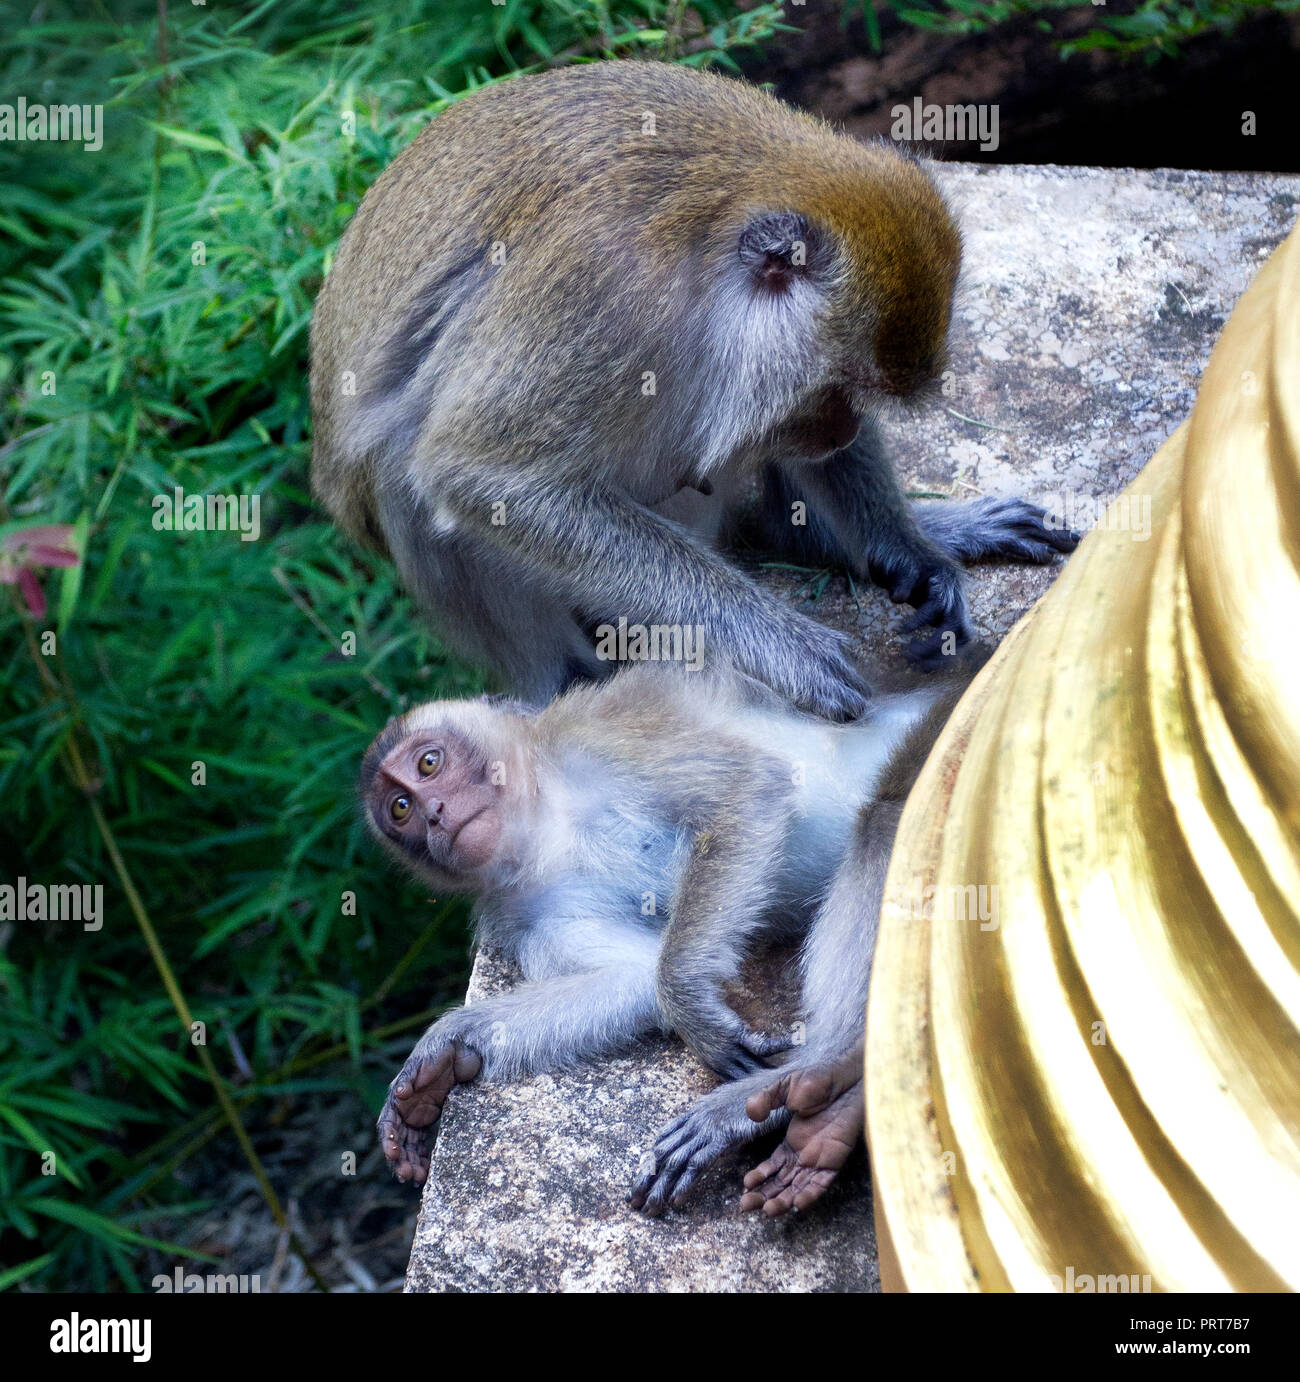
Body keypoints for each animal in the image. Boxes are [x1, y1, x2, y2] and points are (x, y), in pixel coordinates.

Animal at [311, 62, 1076, 717]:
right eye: (834, 388)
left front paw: (910, 547)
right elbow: (481, 473)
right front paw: (777, 644)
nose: (845, 430)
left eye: (857, 398)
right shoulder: (608, 294)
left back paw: (816, 537)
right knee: (404, 465)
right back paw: (566, 685)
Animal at [361, 654, 981, 1215]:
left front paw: (697, 1016)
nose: (435, 815)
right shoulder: (532, 911)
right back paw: (829, 1117)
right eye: (400, 809)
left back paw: (816, 1073)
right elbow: (634, 975)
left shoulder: (602, 736)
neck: (545, 827)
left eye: (430, 762)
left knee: (888, 814)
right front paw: (447, 1049)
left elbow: (747, 791)